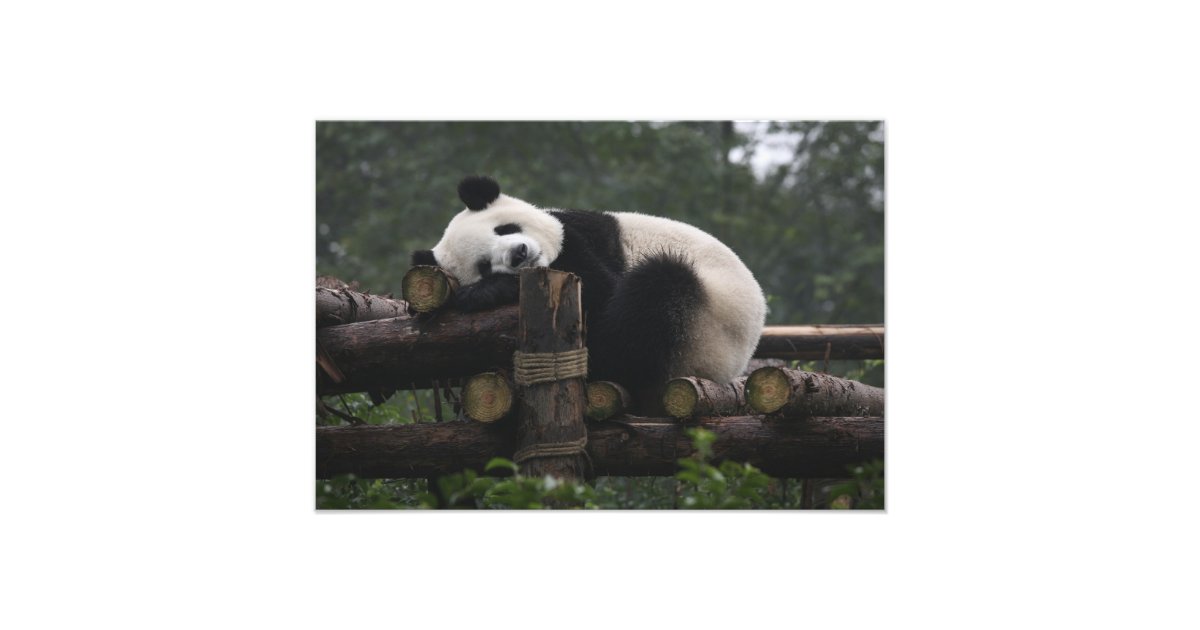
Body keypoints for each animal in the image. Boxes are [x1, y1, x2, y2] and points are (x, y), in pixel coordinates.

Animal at [412, 176, 766, 391]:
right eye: (484, 266)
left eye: (504, 228)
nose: (518, 254)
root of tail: (733, 366)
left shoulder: (580, 236)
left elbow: (602, 293)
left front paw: (482, 294)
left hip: (709, 323)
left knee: (658, 289)